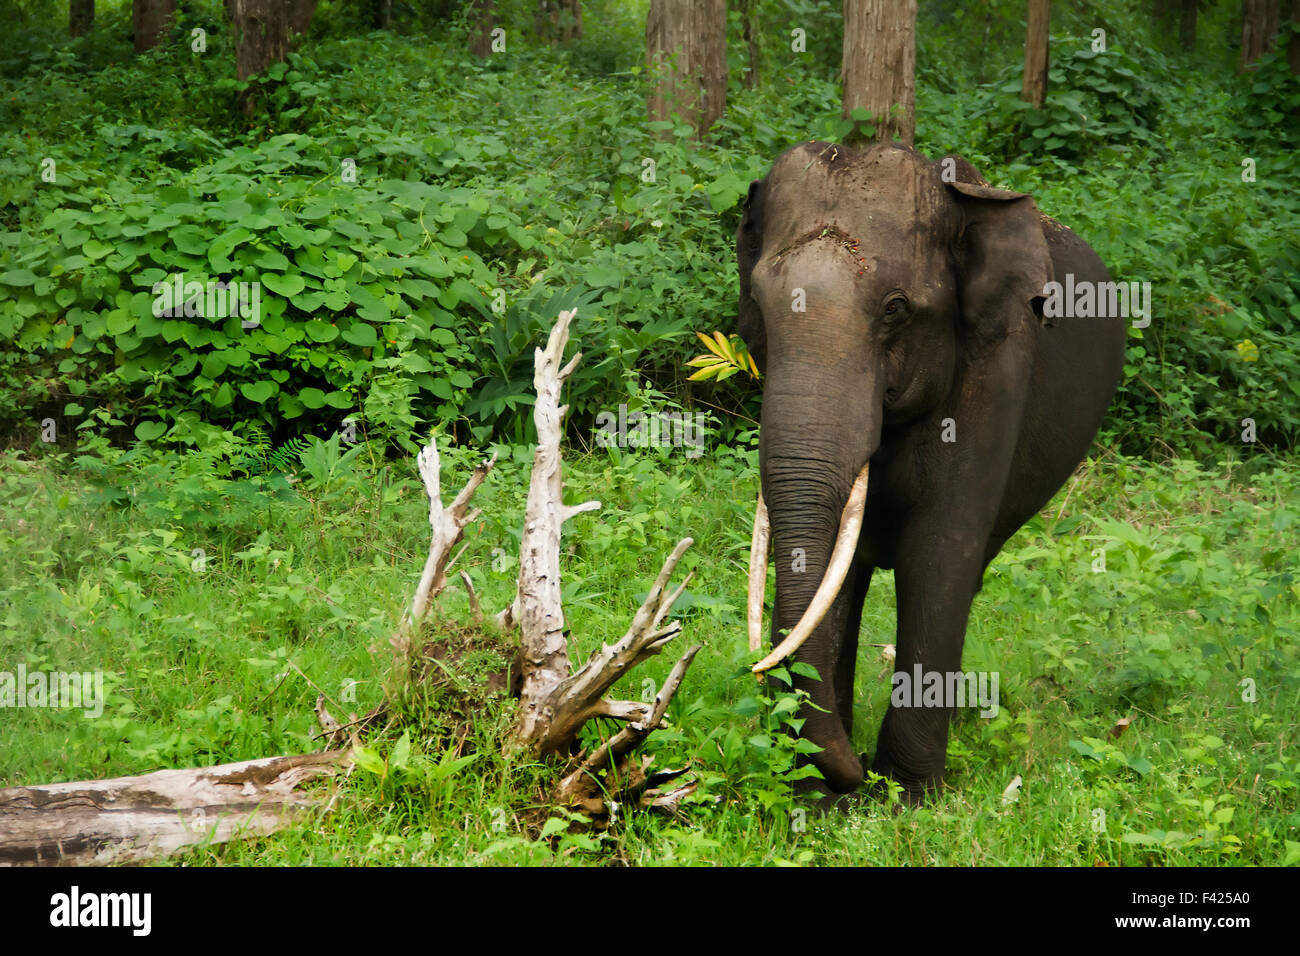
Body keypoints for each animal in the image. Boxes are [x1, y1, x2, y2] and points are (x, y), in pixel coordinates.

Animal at [737, 141, 1125, 803]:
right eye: (760, 305)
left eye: (896, 309)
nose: (856, 770)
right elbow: (841, 570)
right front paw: (823, 799)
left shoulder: (998, 366)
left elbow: (940, 552)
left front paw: (906, 797)